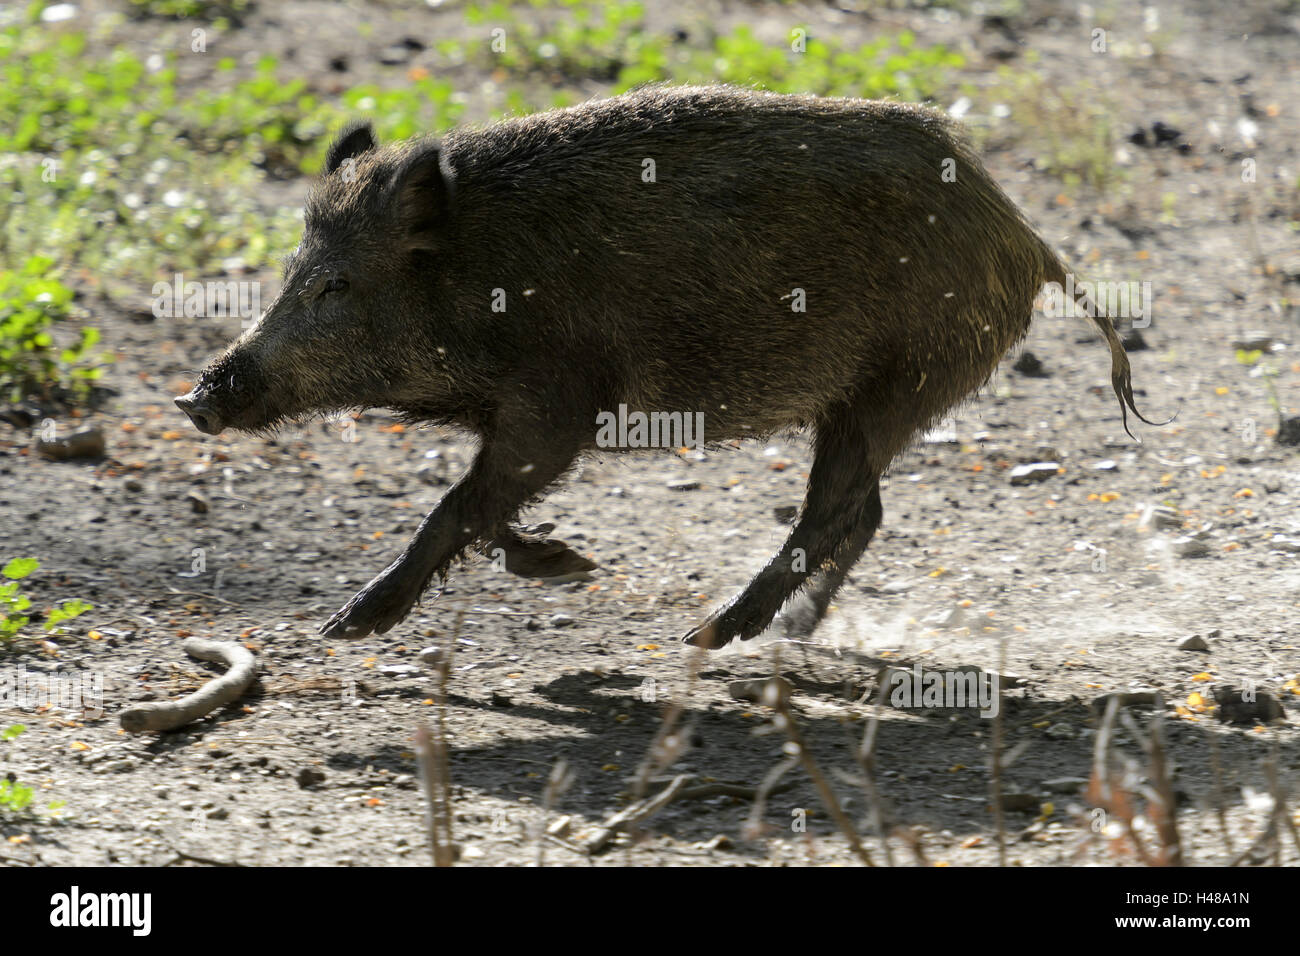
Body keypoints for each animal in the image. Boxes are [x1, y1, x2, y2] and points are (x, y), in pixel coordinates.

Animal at [175, 84, 1158, 648]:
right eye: (291, 271)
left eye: (334, 284)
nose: (196, 397)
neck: (475, 282)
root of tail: (1026, 238)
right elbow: (481, 510)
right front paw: (565, 562)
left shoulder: (559, 405)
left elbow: (458, 505)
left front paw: (346, 627)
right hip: (876, 399)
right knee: (866, 509)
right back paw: (789, 637)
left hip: (900, 379)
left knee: (835, 510)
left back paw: (711, 635)